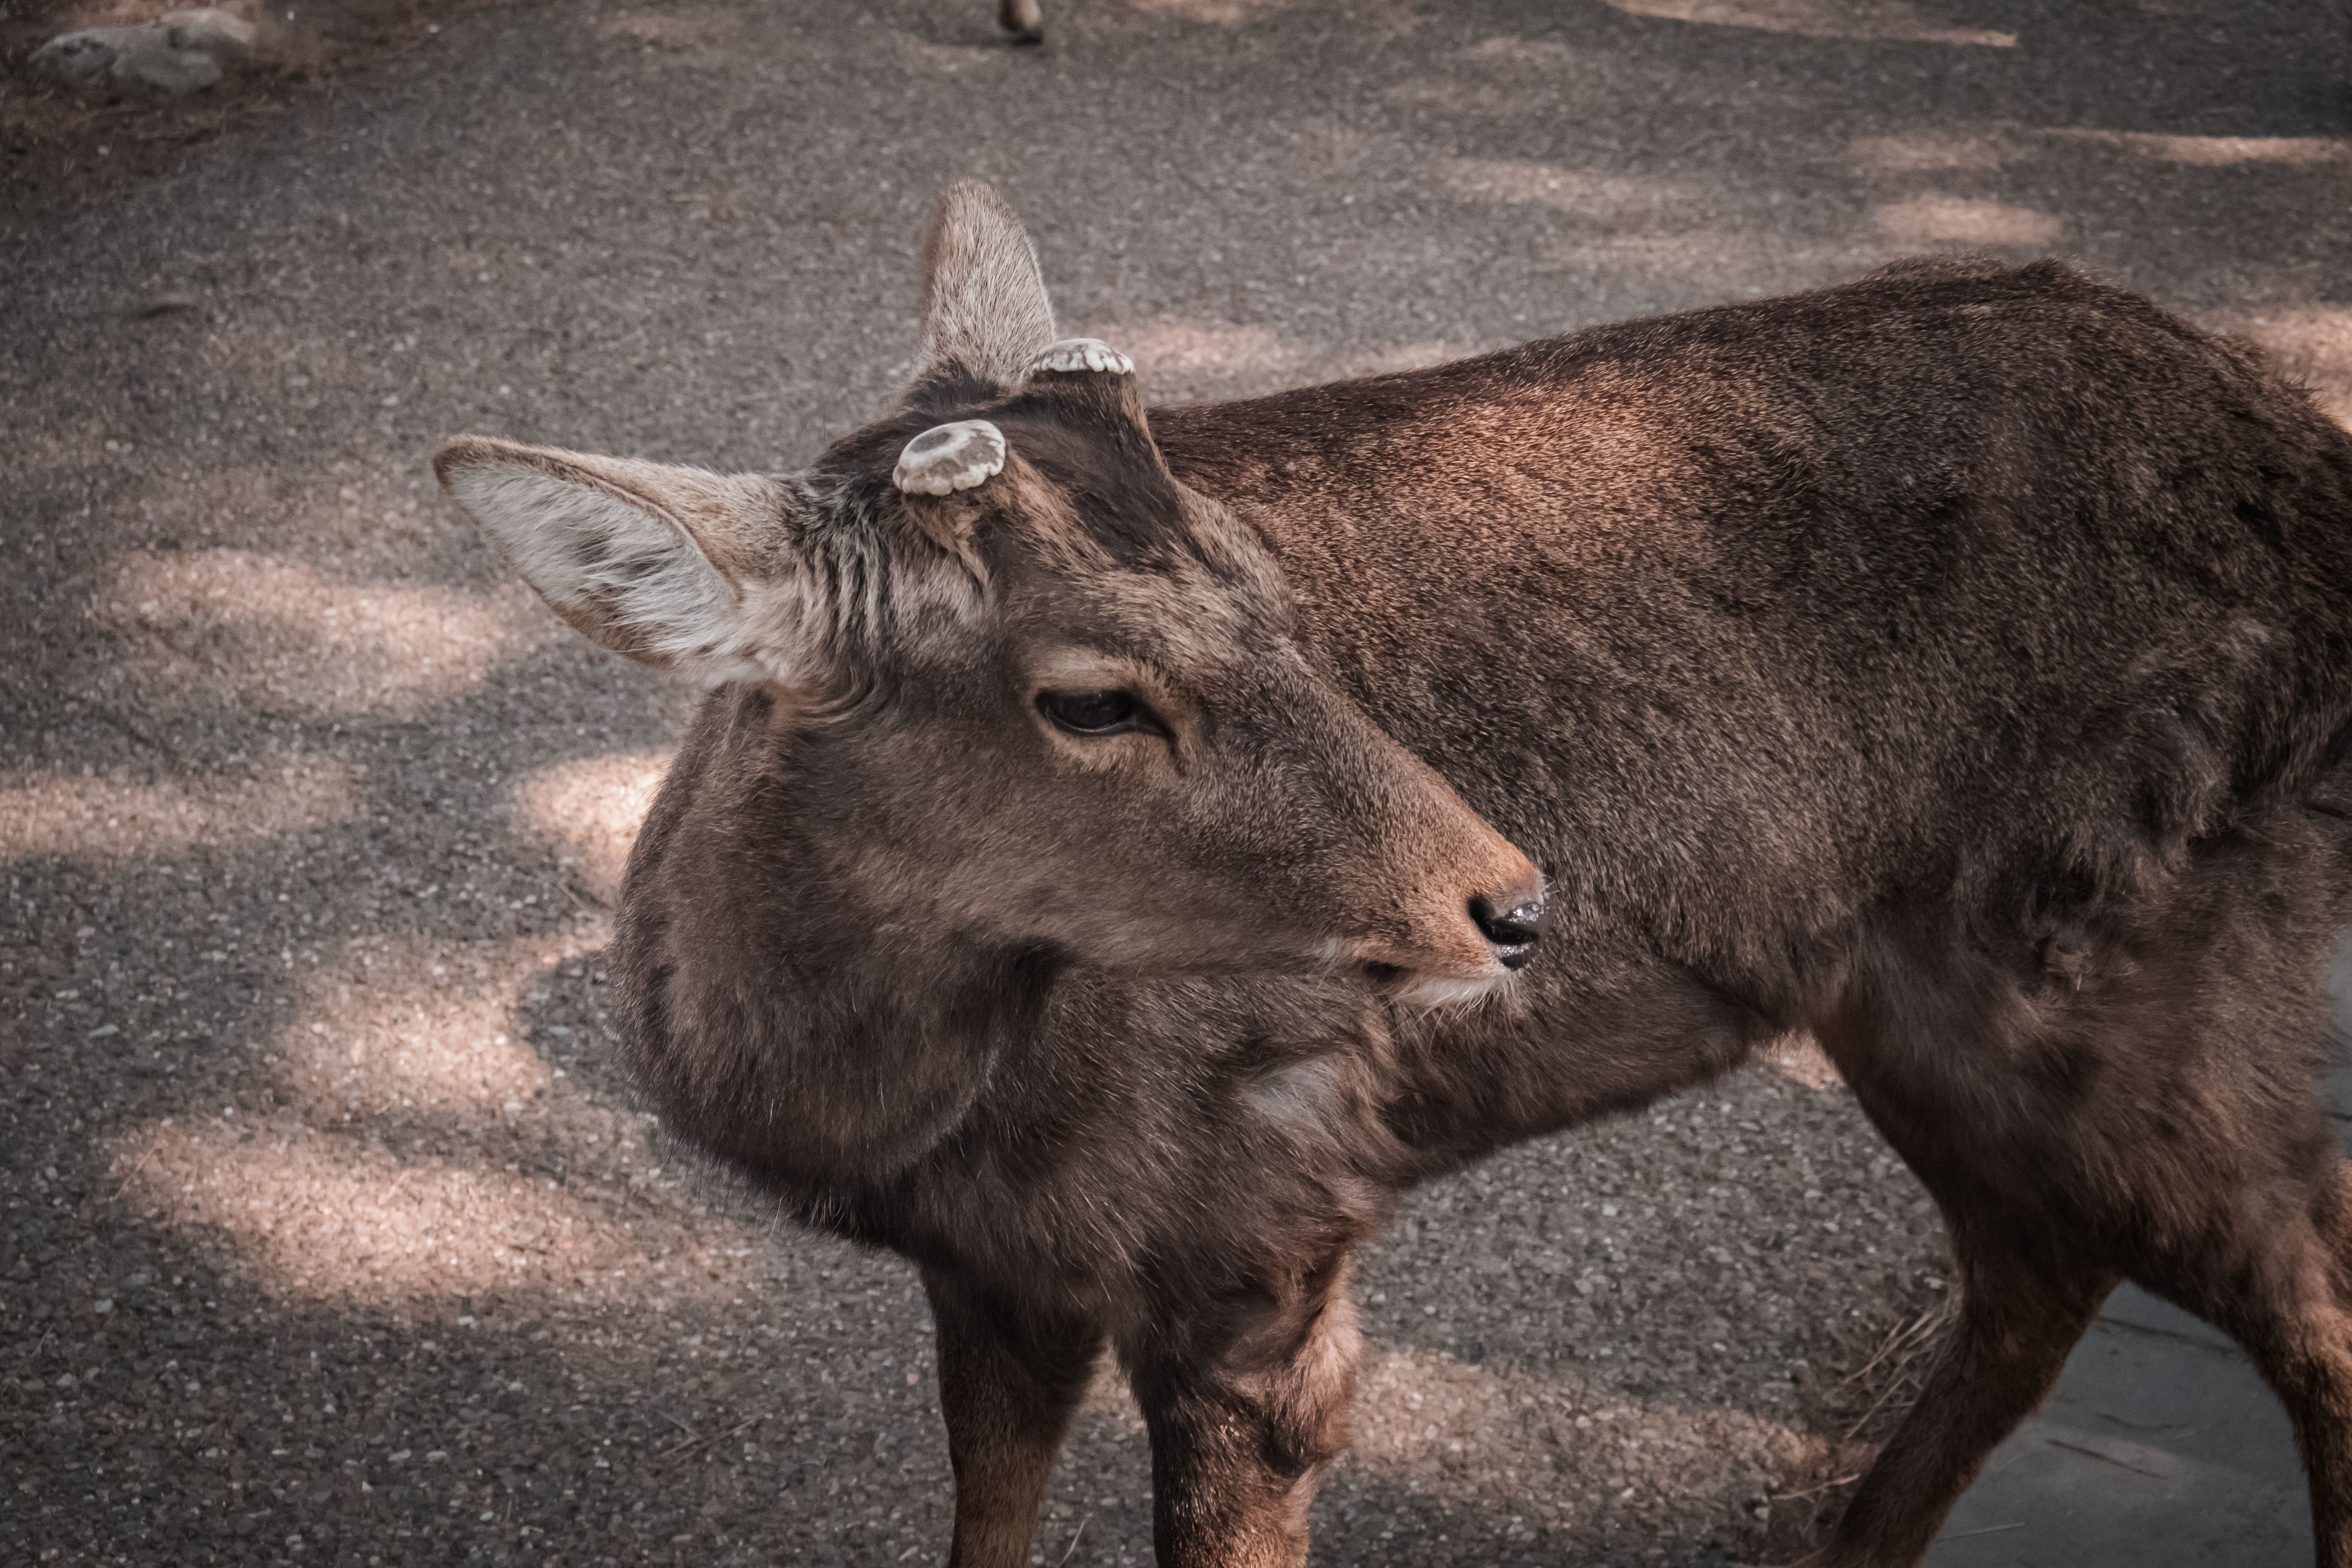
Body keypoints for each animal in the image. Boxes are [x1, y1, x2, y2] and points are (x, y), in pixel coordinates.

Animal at [435, 181, 2352, 1567]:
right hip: (1939, 1006)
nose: (1516, 901)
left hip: (2140, 949)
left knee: (2303, 1298)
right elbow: (983, 1526)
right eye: (1089, 693)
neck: (880, 1116)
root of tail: (2309, 461)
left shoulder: (1255, 1236)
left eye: (1260, 576)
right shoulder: (997, 1270)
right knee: (2043, 1269)